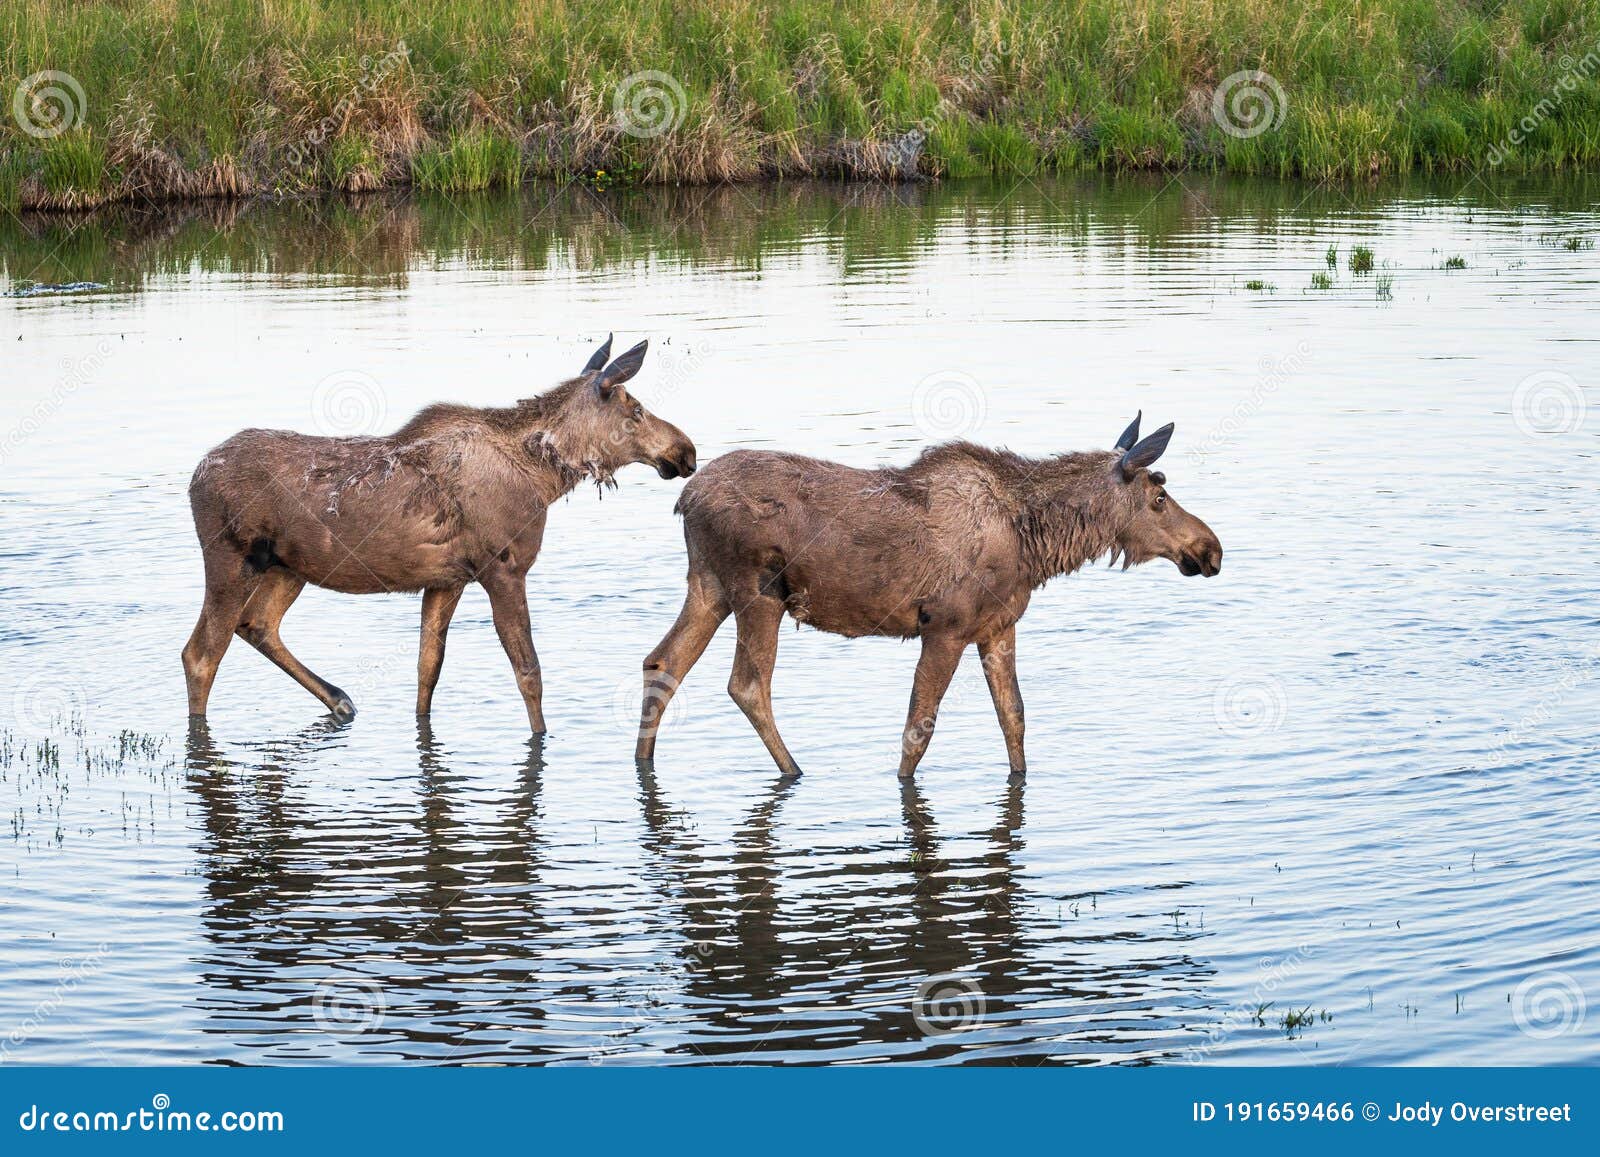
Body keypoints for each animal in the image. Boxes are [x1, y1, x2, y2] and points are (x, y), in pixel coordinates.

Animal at [184, 335, 696, 731]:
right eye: (637, 408)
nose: (686, 451)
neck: (544, 479)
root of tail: (194, 475)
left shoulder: (446, 581)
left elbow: (427, 670)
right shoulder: (504, 568)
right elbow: (528, 670)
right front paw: (542, 737)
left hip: (288, 567)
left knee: (257, 624)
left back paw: (340, 699)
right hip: (231, 557)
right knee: (202, 654)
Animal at [635, 414, 1221, 779]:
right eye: (1160, 496)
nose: (1210, 548)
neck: (1036, 543)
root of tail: (685, 497)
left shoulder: (998, 626)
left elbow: (1014, 715)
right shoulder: (944, 628)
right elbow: (919, 728)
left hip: (709, 588)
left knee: (662, 662)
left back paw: (643, 761)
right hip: (759, 594)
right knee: (748, 685)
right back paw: (795, 770)